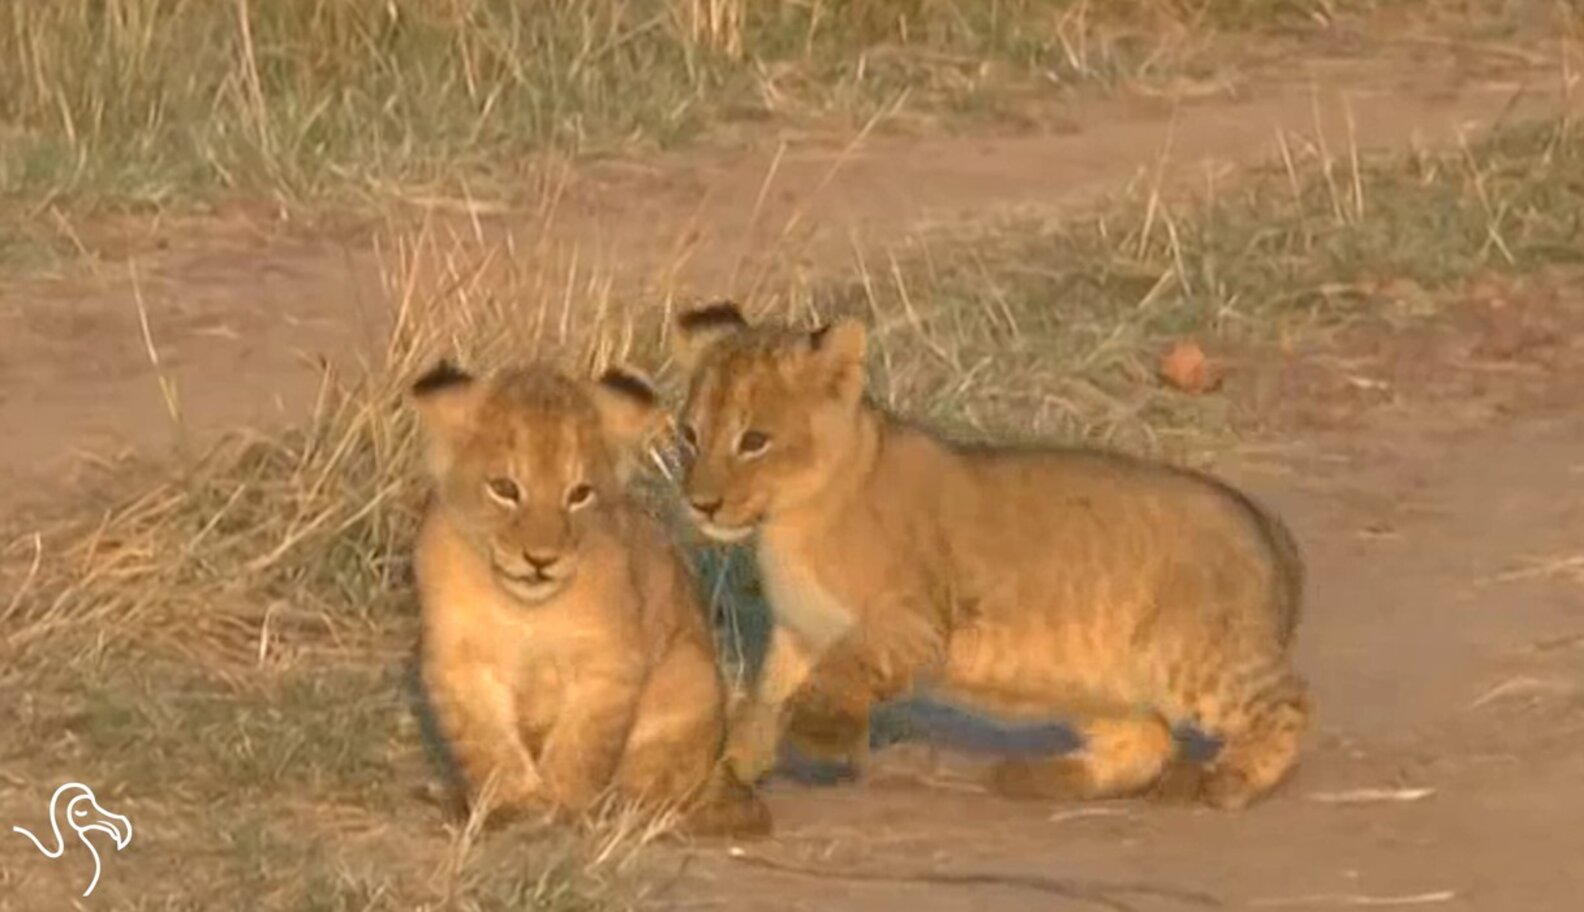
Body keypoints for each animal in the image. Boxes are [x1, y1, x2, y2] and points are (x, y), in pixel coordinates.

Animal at [409, 358, 770, 837]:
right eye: (504, 488)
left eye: (579, 494)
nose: (540, 560)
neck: (527, 609)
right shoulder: (460, 662)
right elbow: (488, 744)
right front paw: (514, 803)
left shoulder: (609, 663)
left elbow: (581, 745)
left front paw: (562, 806)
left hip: (689, 681)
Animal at [667, 302, 1310, 811]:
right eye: (689, 436)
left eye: (754, 441)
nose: (699, 503)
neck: (790, 523)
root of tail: (1267, 523)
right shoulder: (800, 635)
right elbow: (762, 704)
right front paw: (726, 773)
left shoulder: (912, 621)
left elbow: (844, 670)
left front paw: (821, 734)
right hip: (1098, 679)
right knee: (1148, 741)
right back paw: (1037, 778)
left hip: (1197, 654)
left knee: (1288, 710)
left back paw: (1225, 782)